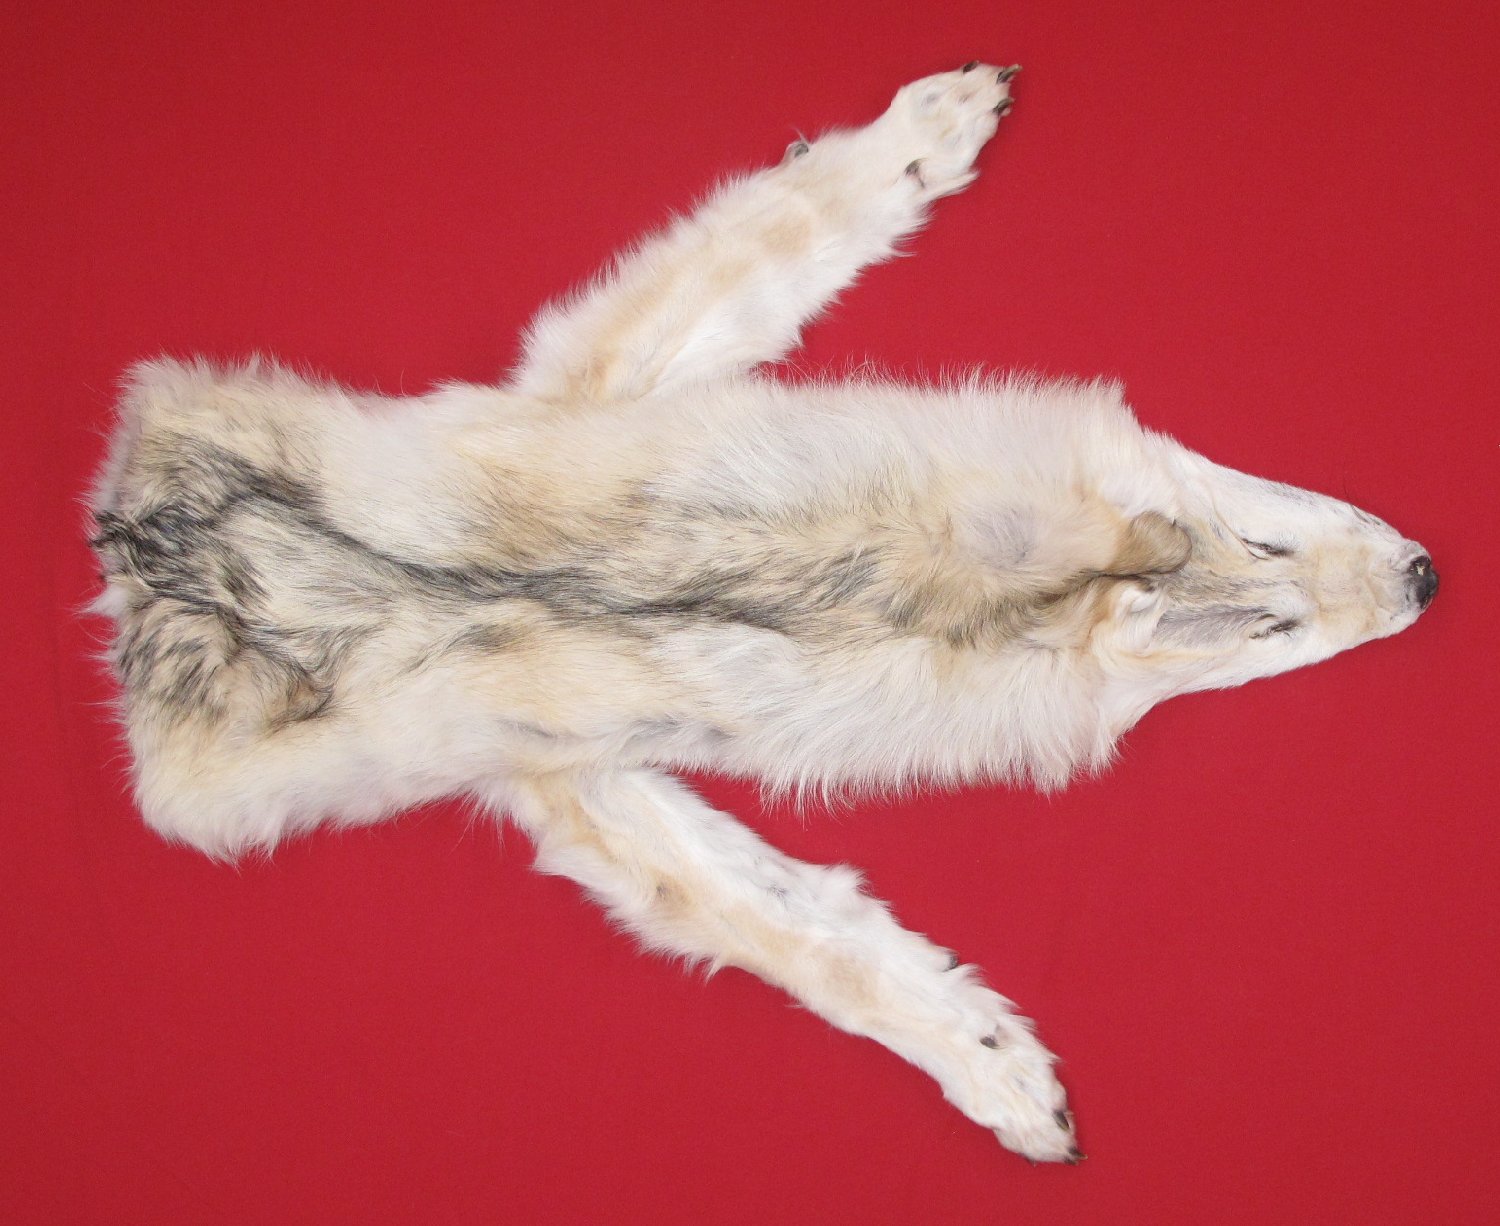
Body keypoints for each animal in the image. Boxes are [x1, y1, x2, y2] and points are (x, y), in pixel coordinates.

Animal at [89, 63, 1437, 1161]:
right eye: (1270, 600)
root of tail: (143, 573)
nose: (1426, 578)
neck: (889, 579)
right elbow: (811, 942)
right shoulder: (567, 744)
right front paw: (993, 1067)